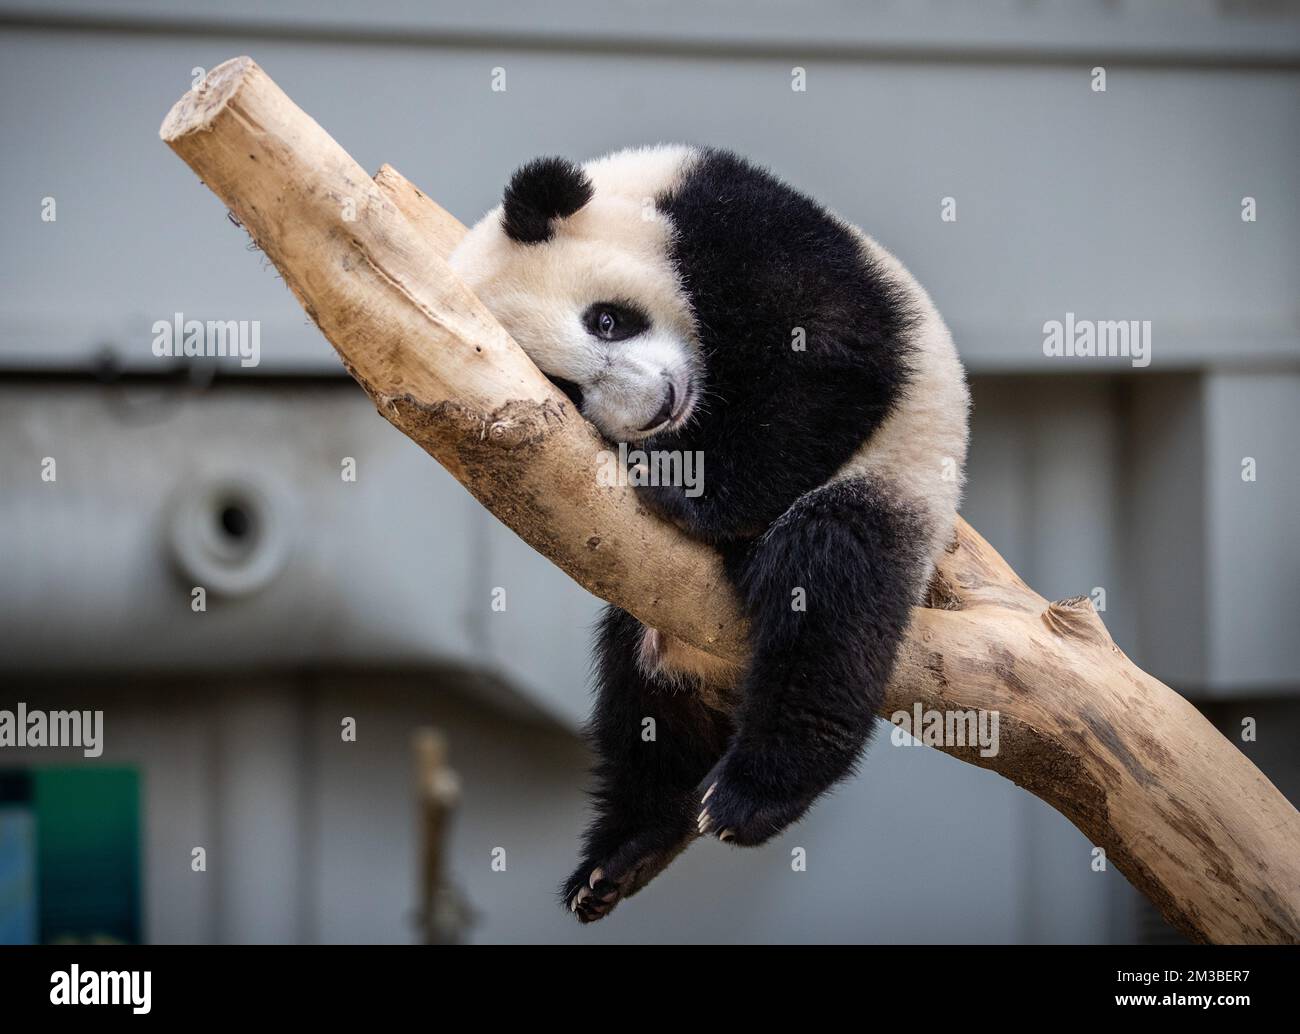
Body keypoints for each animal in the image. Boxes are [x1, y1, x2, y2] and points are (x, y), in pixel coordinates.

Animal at [449, 145, 969, 923]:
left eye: (608, 321)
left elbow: (829, 360)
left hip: (898, 484)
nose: (655, 410)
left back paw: (755, 794)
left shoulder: (735, 226)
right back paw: (627, 854)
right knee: (646, 702)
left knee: (828, 583)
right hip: (658, 624)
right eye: (564, 391)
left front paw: (689, 490)